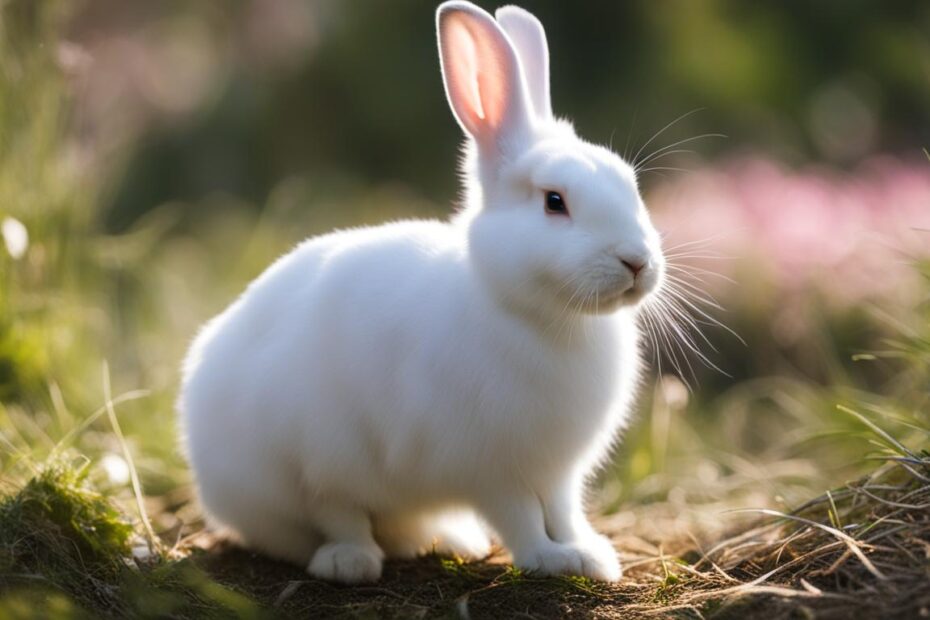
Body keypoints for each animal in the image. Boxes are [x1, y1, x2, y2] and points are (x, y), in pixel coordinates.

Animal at [179, 1, 665, 584]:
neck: (530, 311)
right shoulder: (491, 467)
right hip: (320, 456)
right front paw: (551, 560)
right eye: (554, 202)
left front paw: (592, 554)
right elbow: (522, 519)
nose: (637, 262)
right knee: (336, 514)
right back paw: (351, 562)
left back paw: (452, 539)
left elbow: (564, 512)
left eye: (629, 184)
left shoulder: (557, 472)